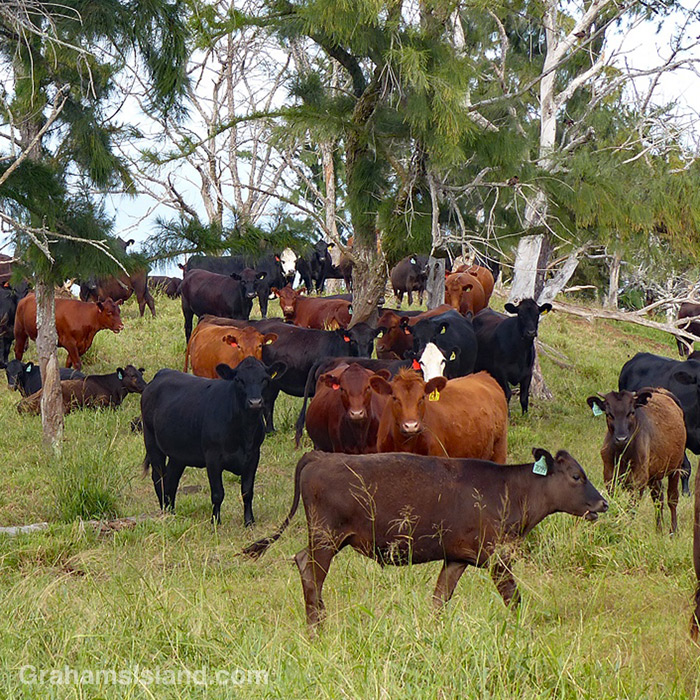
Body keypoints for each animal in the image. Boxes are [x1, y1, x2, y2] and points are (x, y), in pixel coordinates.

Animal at [140, 356, 285, 525]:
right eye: (238, 380)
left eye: (265, 379)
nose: (255, 402)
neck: (245, 432)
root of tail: (162, 373)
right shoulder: (213, 457)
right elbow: (217, 493)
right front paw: (215, 521)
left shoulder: (253, 456)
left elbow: (247, 491)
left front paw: (249, 521)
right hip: (152, 443)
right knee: (159, 478)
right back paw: (164, 511)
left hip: (178, 454)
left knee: (171, 479)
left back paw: (172, 512)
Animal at [243, 448, 608, 629]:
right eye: (577, 476)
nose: (602, 503)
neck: (510, 490)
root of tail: (320, 455)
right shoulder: (497, 558)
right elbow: (514, 600)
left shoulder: (457, 558)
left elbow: (439, 601)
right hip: (325, 538)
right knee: (311, 573)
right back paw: (317, 628)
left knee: (303, 565)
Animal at [369, 369, 508, 460]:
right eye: (394, 398)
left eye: (422, 397)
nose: (411, 426)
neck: (405, 445)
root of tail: (484, 375)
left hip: (500, 450)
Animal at [587, 388, 685, 532]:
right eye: (609, 414)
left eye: (631, 412)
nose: (621, 438)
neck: (622, 454)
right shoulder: (609, 477)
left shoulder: (638, 480)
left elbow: (631, 509)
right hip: (654, 474)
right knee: (658, 498)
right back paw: (658, 530)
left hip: (676, 467)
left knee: (672, 499)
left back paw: (673, 531)